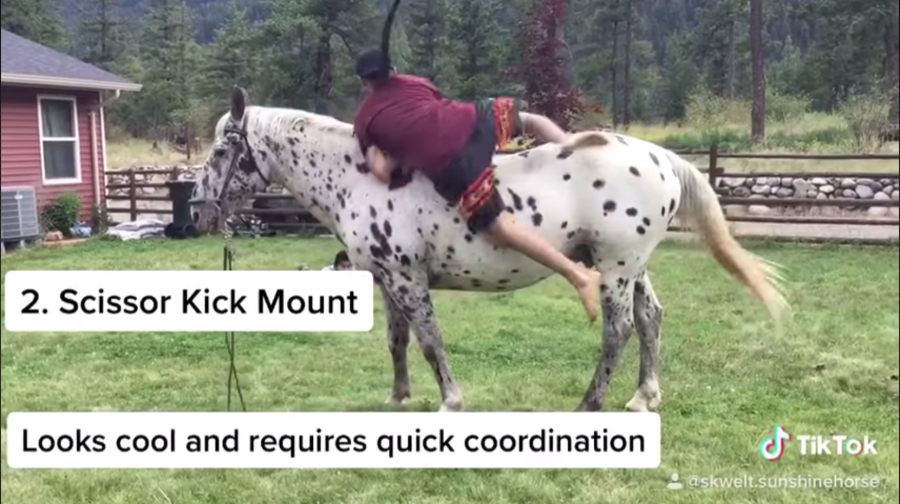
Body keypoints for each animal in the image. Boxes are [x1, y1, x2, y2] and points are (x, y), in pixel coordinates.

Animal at [189, 88, 790, 413]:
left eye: (221, 150)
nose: (196, 210)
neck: (362, 178)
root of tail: (660, 158)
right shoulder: (386, 278)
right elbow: (397, 342)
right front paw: (398, 398)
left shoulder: (407, 279)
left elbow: (430, 341)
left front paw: (450, 401)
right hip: (632, 268)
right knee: (650, 319)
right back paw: (644, 397)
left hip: (616, 268)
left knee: (617, 330)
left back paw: (589, 404)